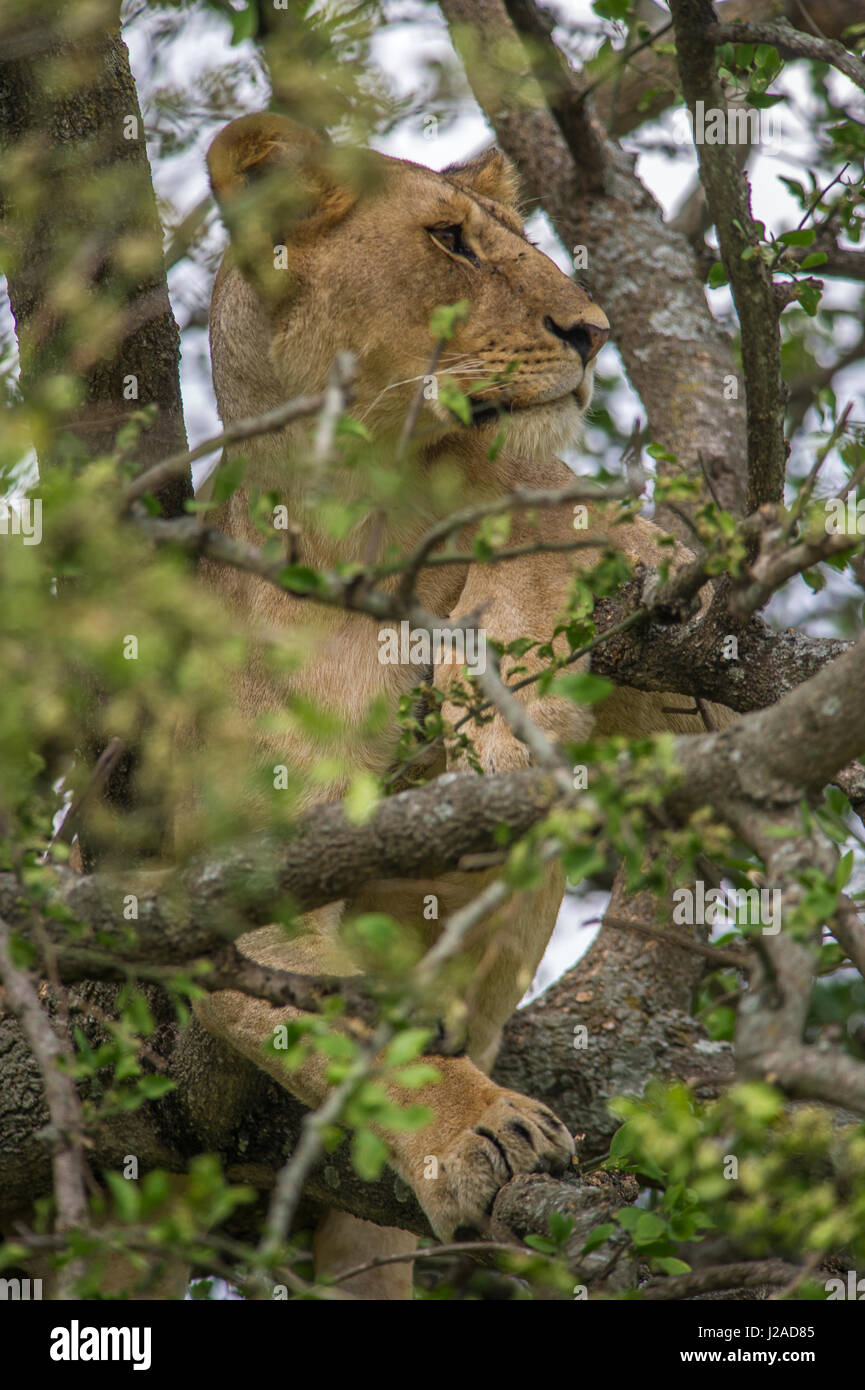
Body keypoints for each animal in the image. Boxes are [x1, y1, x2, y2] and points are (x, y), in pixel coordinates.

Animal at [191, 112, 719, 1298]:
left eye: (521, 238)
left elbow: (564, 531)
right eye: (450, 243)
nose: (592, 332)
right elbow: (338, 1029)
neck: (367, 520)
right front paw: (481, 1135)